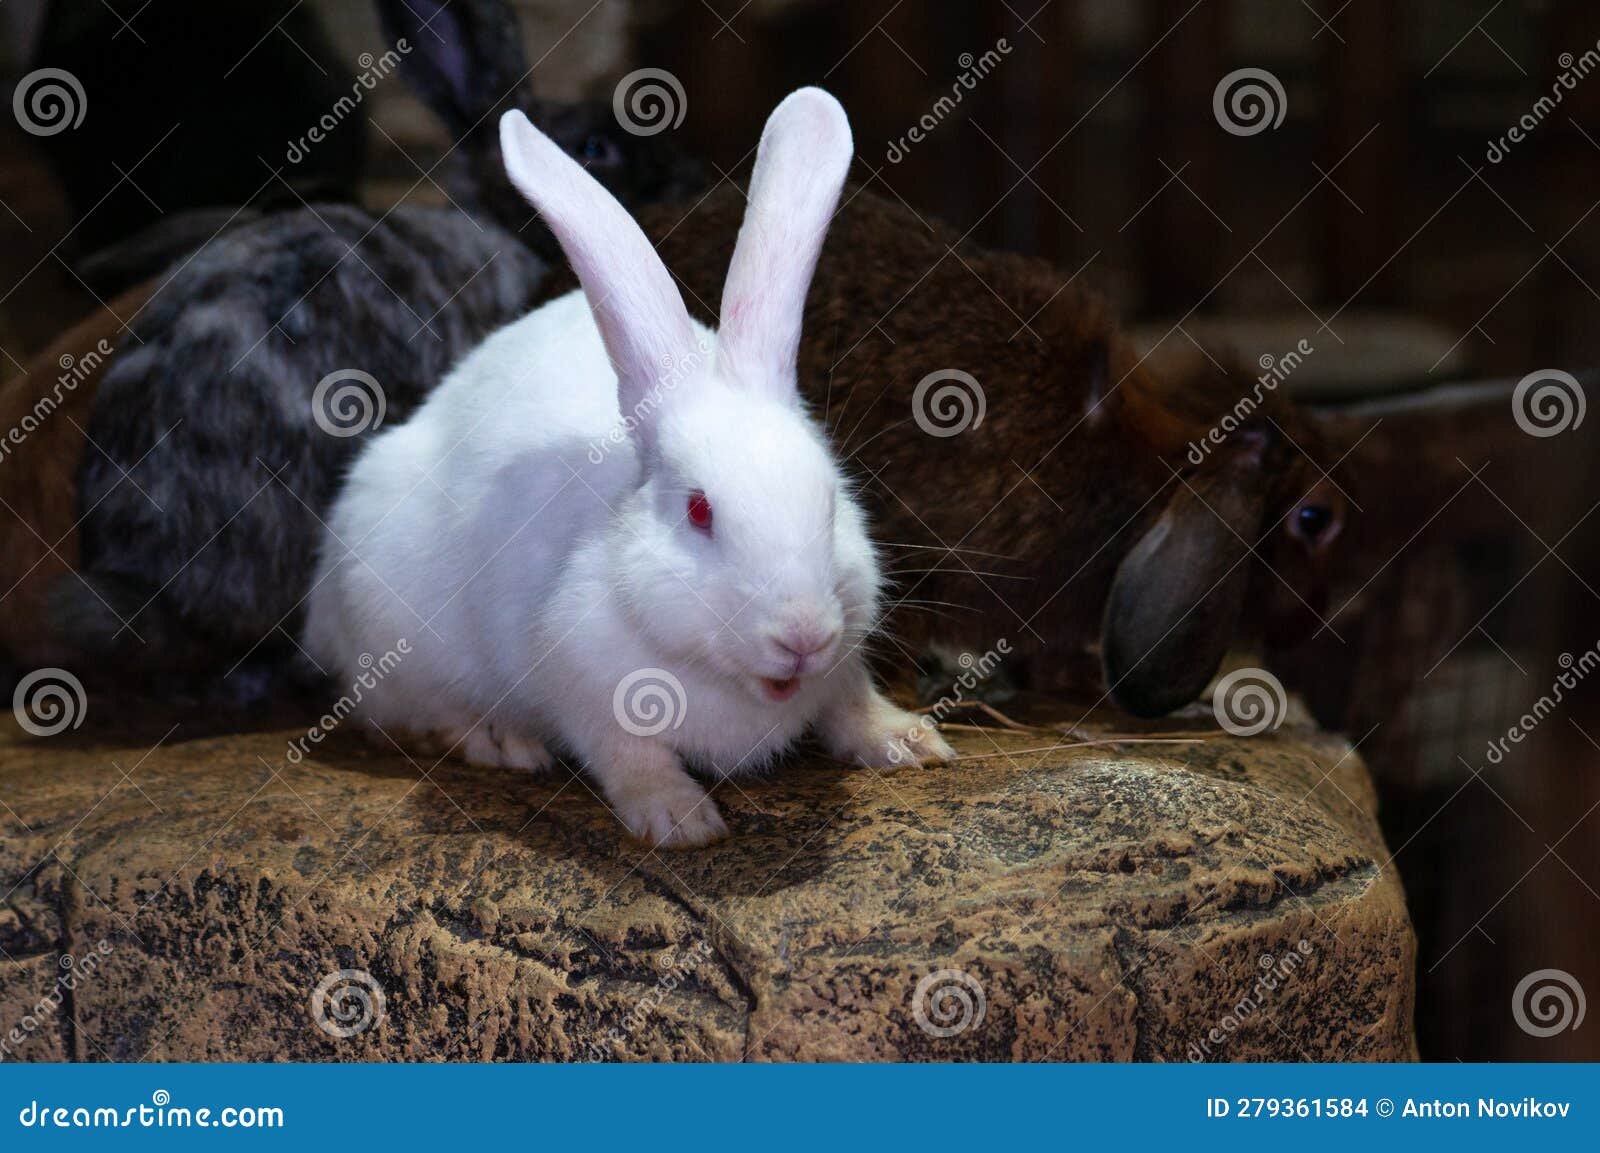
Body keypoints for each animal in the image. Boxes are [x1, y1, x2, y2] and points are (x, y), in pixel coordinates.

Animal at [302, 88, 953, 847]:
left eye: (829, 505)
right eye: (699, 511)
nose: (803, 637)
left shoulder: (845, 657)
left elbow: (851, 704)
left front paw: (909, 741)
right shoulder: (583, 683)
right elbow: (627, 756)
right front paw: (679, 818)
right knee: (404, 717)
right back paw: (501, 740)